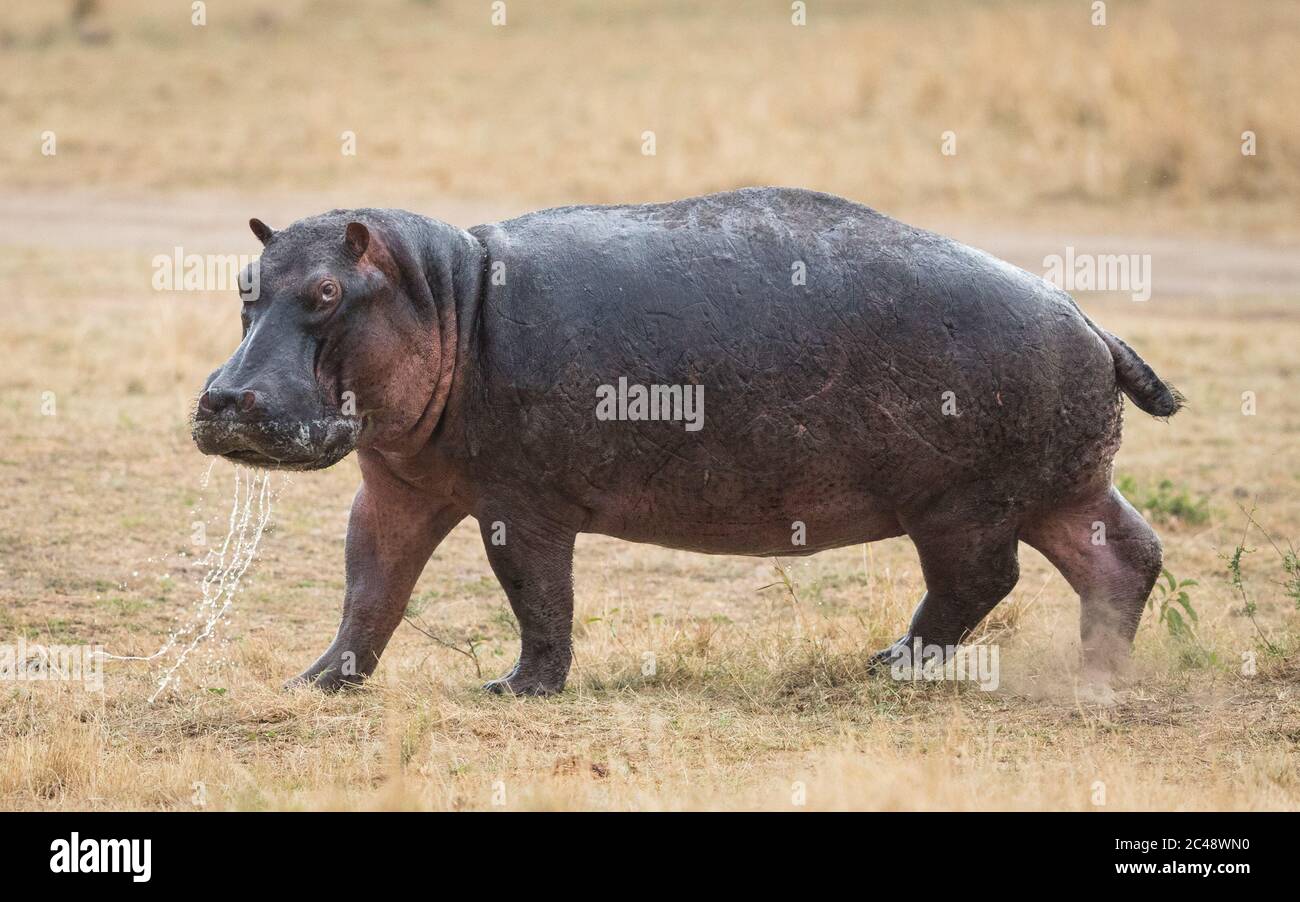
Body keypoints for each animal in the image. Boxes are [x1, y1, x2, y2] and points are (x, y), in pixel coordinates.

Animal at [189, 185, 1180, 691]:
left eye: (326, 292)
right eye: (243, 281)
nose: (228, 398)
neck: (445, 296)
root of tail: (1088, 318)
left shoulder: (522, 501)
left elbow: (536, 595)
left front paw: (516, 689)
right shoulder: (398, 486)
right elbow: (370, 585)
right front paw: (317, 681)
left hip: (960, 508)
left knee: (980, 582)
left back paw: (887, 668)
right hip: (1060, 489)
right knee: (1123, 556)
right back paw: (1098, 674)